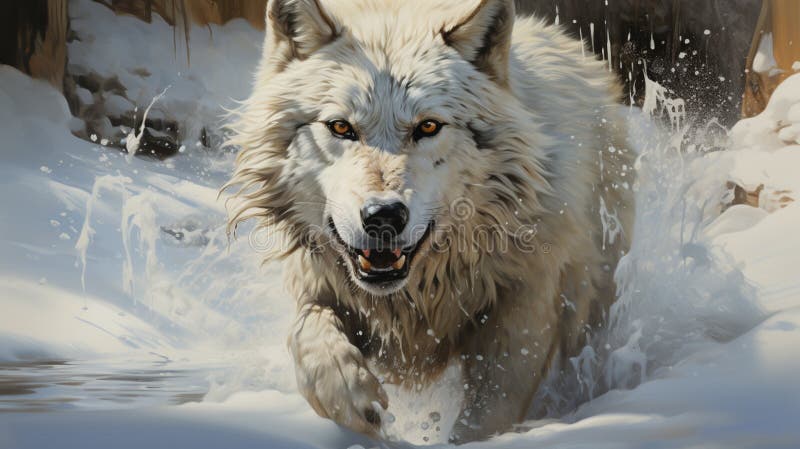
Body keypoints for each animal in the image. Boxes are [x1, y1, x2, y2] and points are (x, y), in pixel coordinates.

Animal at [226, 0, 634, 442]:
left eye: (428, 126)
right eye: (340, 126)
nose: (383, 216)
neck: (415, 297)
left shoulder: (525, 309)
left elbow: (490, 411)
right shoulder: (317, 284)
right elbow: (308, 338)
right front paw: (353, 398)